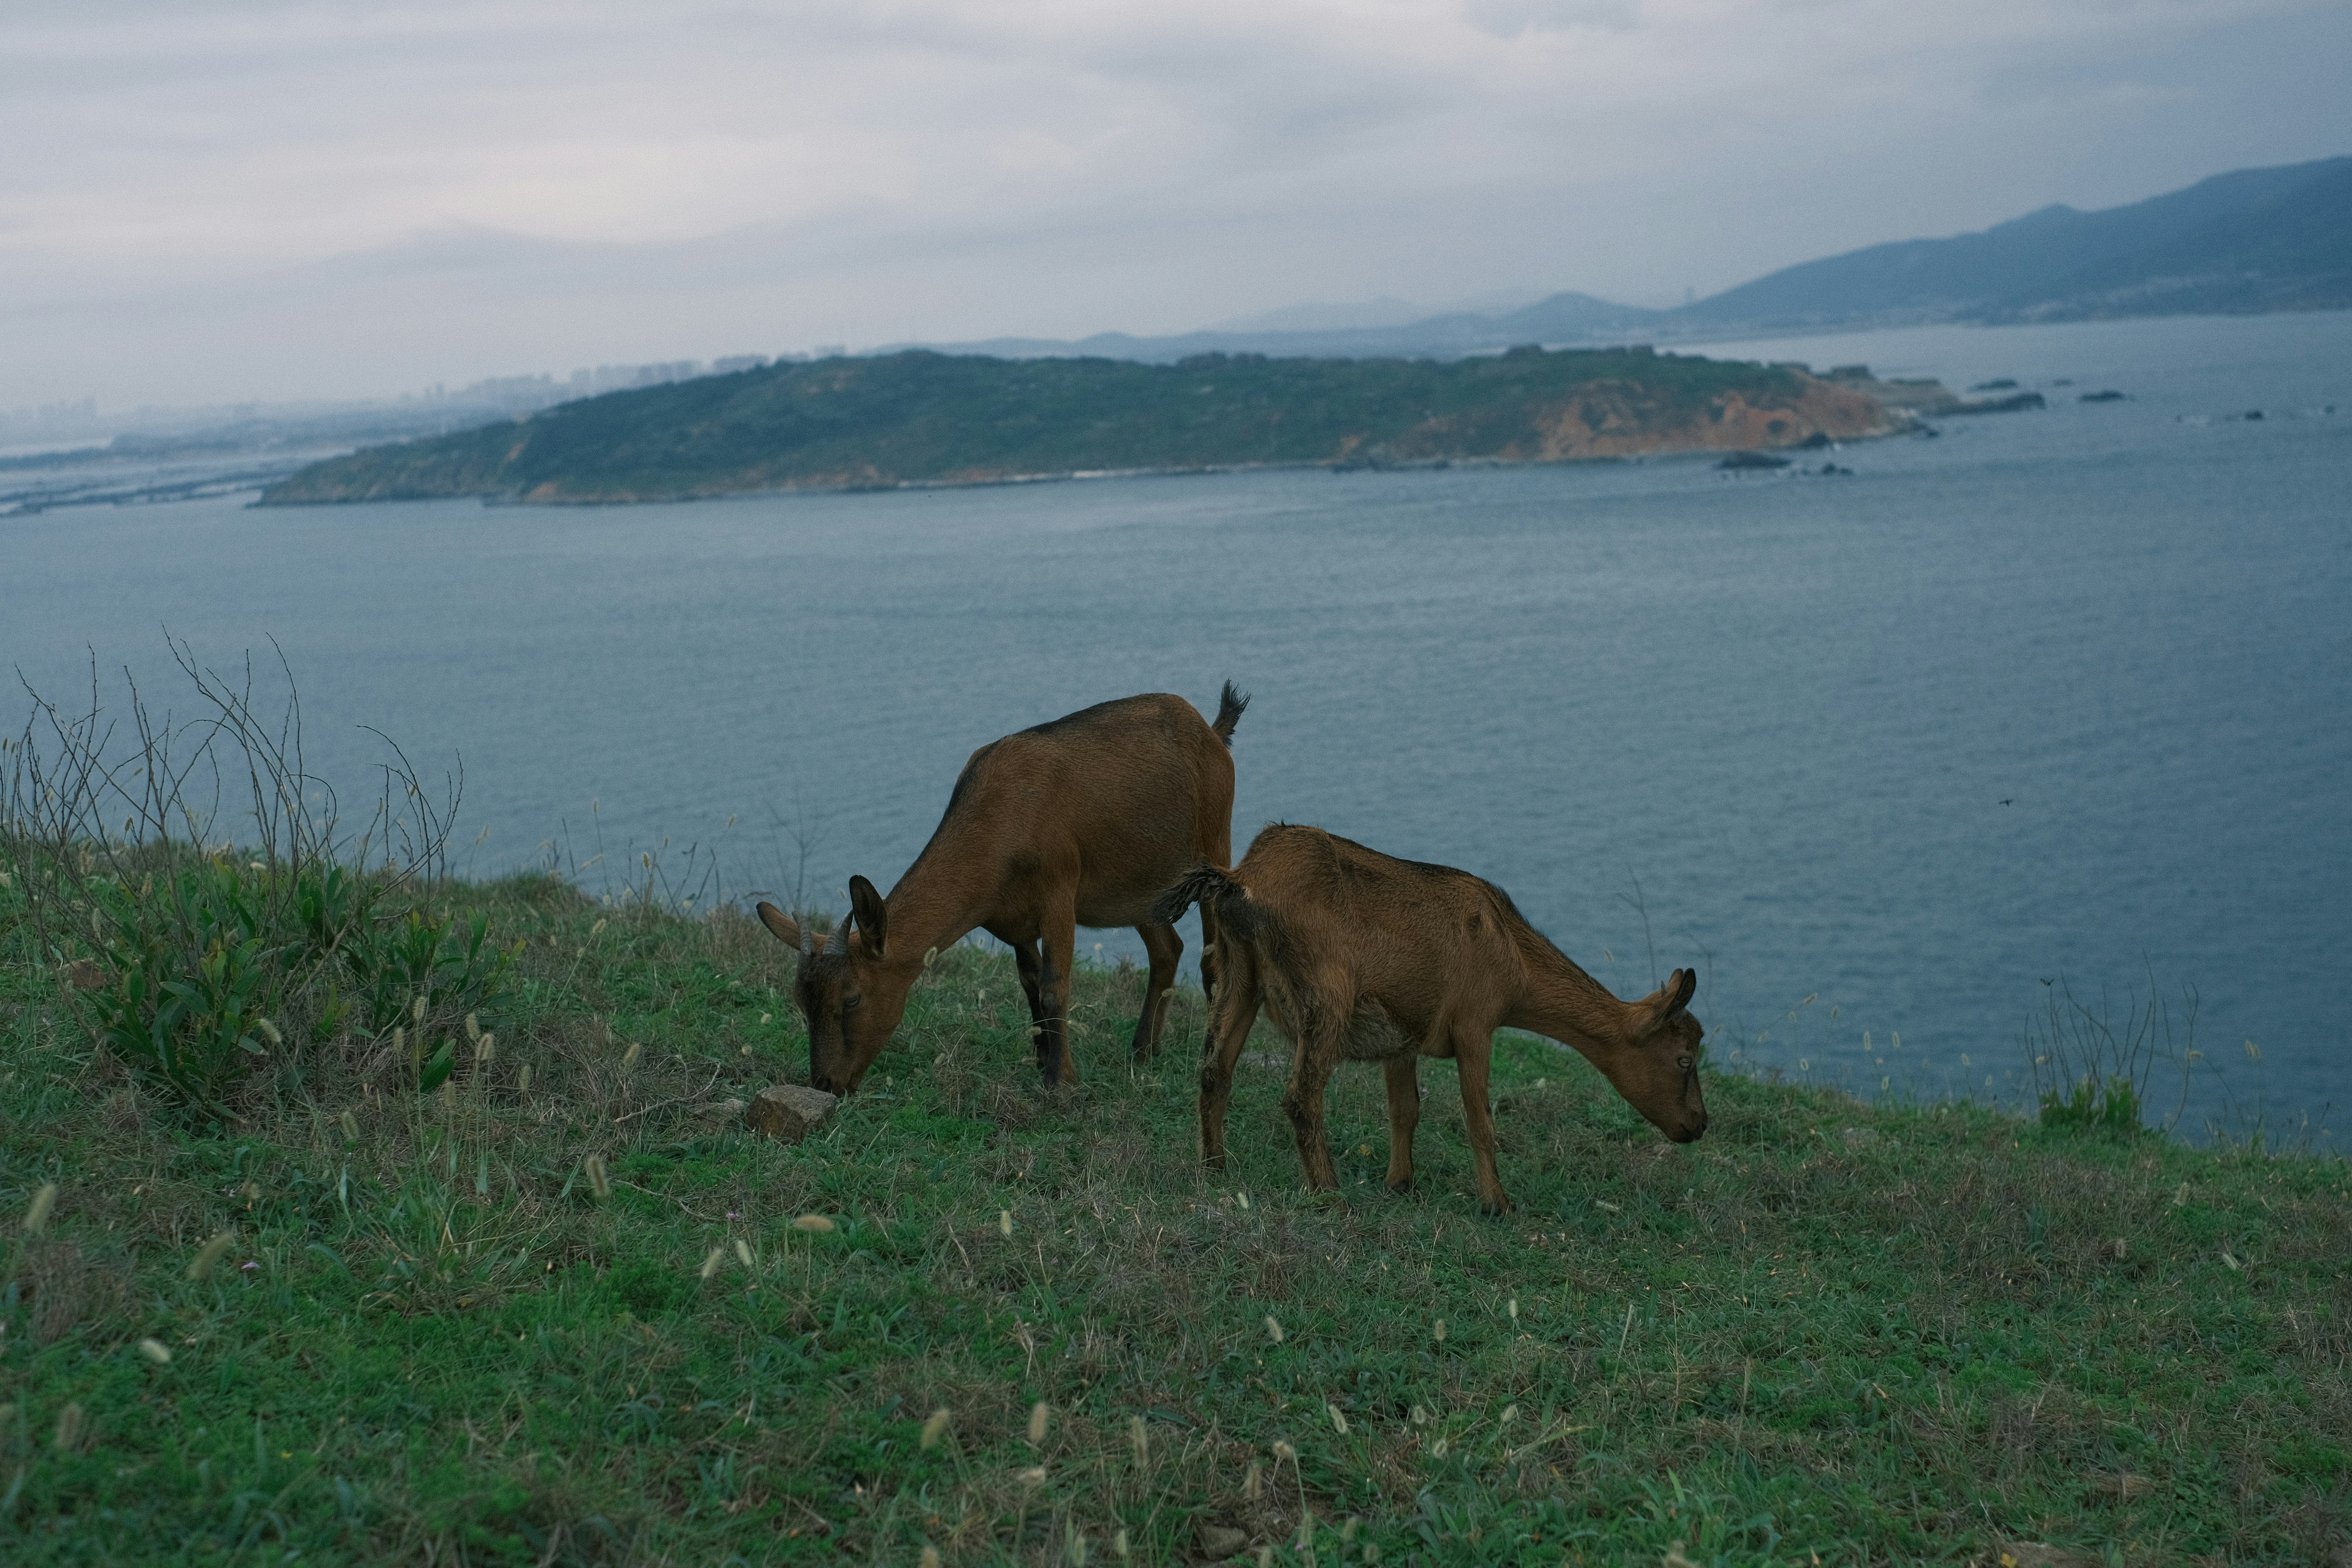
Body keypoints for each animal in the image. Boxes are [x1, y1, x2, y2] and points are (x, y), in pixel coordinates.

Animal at [755, 683, 1247, 1095]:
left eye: (853, 997)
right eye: (801, 999)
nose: (826, 1083)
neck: (1004, 821)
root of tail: (1213, 733)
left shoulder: (1059, 892)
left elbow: (1054, 984)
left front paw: (1060, 1082)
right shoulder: (1012, 920)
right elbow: (1029, 983)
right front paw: (1041, 1058)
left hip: (1215, 843)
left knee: (1212, 962)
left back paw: (1207, 1056)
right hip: (1142, 890)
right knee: (1167, 950)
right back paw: (1143, 1049)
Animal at [1154, 823, 1707, 1215]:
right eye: (1684, 1058)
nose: (1699, 1124)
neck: (1513, 959)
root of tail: (1242, 883)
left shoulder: (1402, 1036)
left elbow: (1406, 1110)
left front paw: (1400, 1183)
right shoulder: (1475, 1024)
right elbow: (1479, 1119)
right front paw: (1499, 1203)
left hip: (1238, 976)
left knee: (1214, 1072)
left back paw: (1216, 1166)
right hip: (1325, 998)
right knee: (1300, 1096)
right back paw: (1329, 1191)